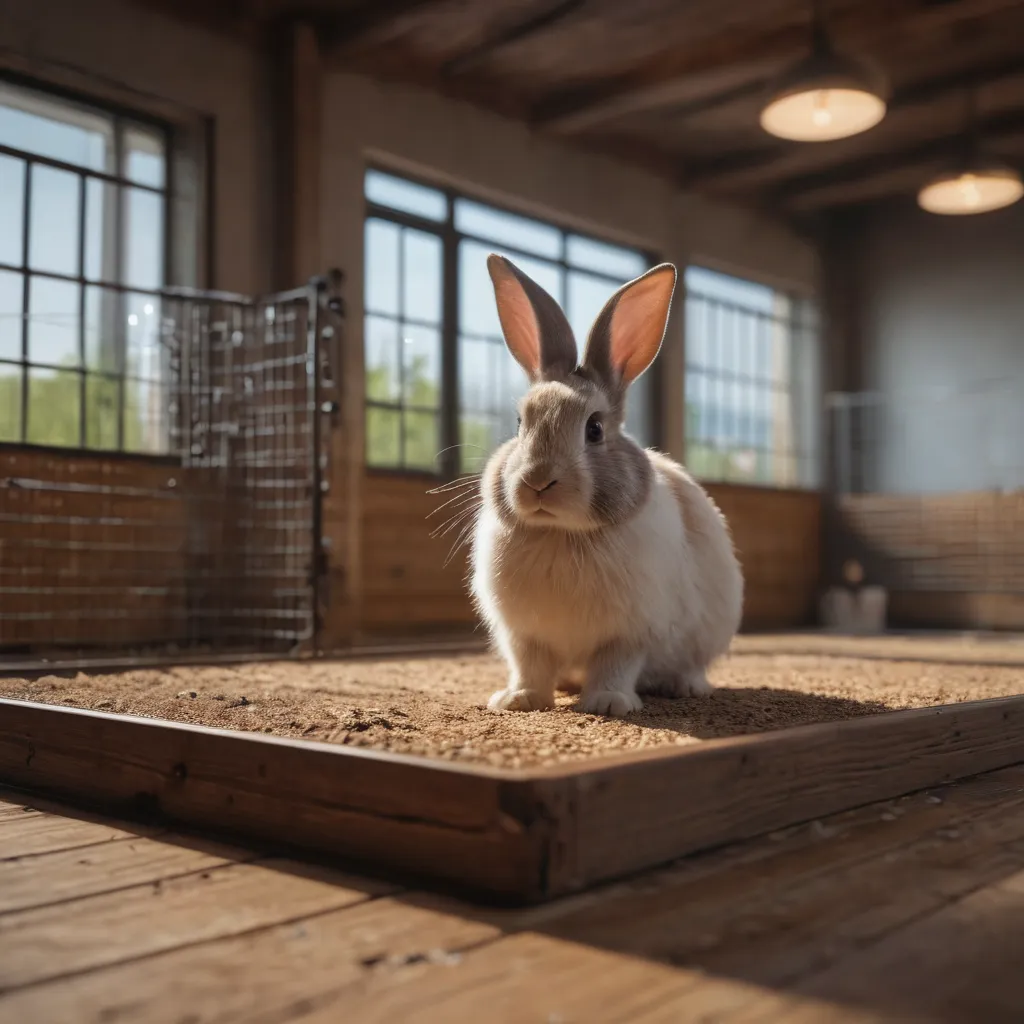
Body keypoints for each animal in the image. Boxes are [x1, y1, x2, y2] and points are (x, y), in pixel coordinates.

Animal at [470, 253, 744, 717]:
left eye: (595, 429)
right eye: (520, 423)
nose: (538, 481)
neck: (562, 534)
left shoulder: (630, 632)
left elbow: (615, 664)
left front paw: (608, 703)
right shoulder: (523, 634)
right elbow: (529, 665)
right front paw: (518, 700)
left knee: (690, 665)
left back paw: (686, 687)